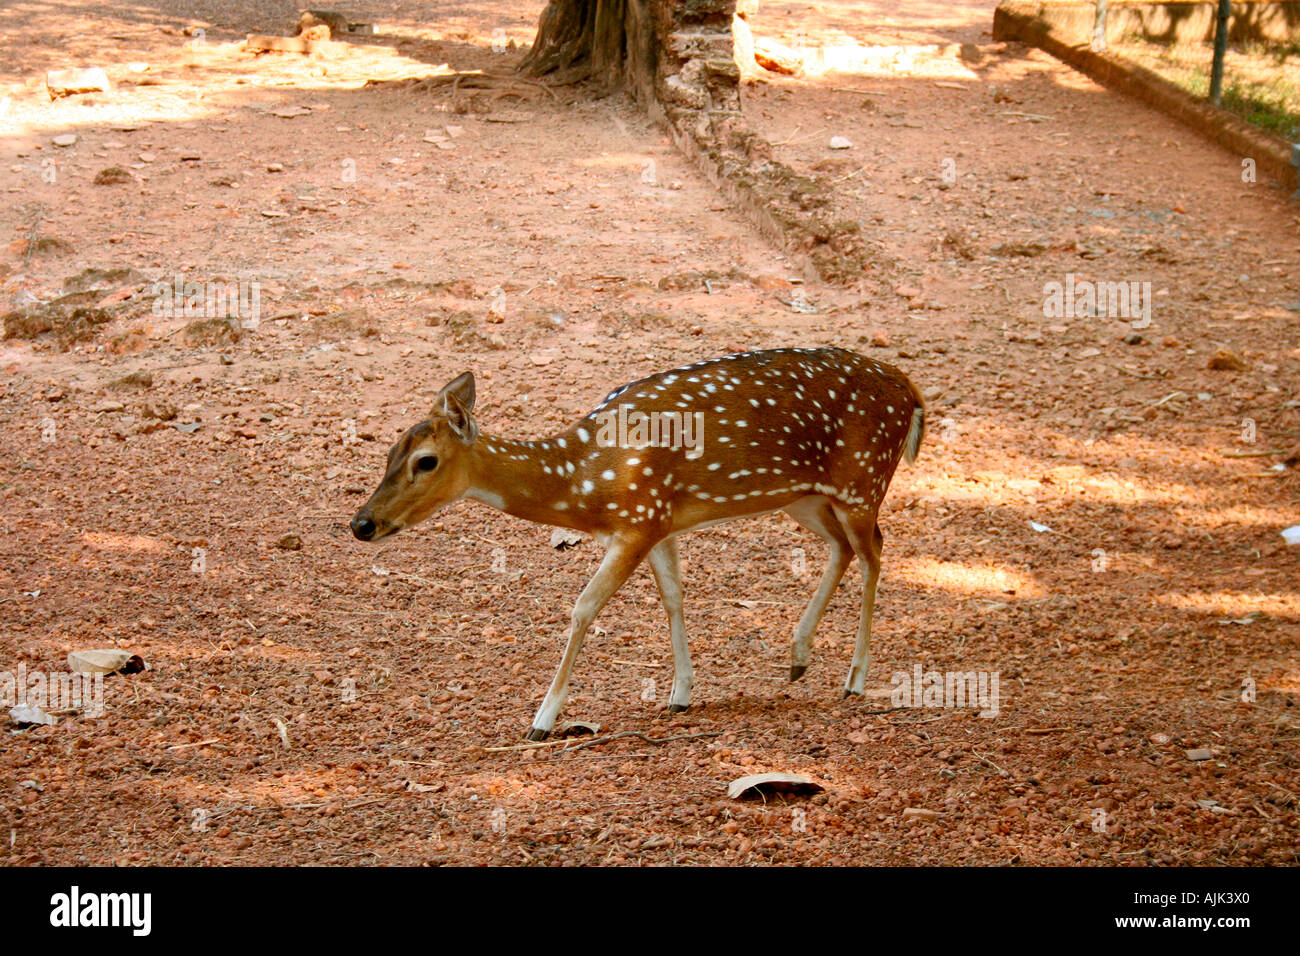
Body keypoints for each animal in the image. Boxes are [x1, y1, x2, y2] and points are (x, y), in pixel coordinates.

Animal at [351, 347, 925, 740]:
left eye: (425, 460)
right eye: (388, 451)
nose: (361, 524)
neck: (585, 486)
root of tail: (912, 389)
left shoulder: (638, 521)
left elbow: (584, 606)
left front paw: (542, 720)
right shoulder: (660, 523)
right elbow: (673, 598)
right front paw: (680, 694)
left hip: (863, 479)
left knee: (875, 550)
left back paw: (855, 677)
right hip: (805, 497)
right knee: (845, 548)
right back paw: (798, 658)